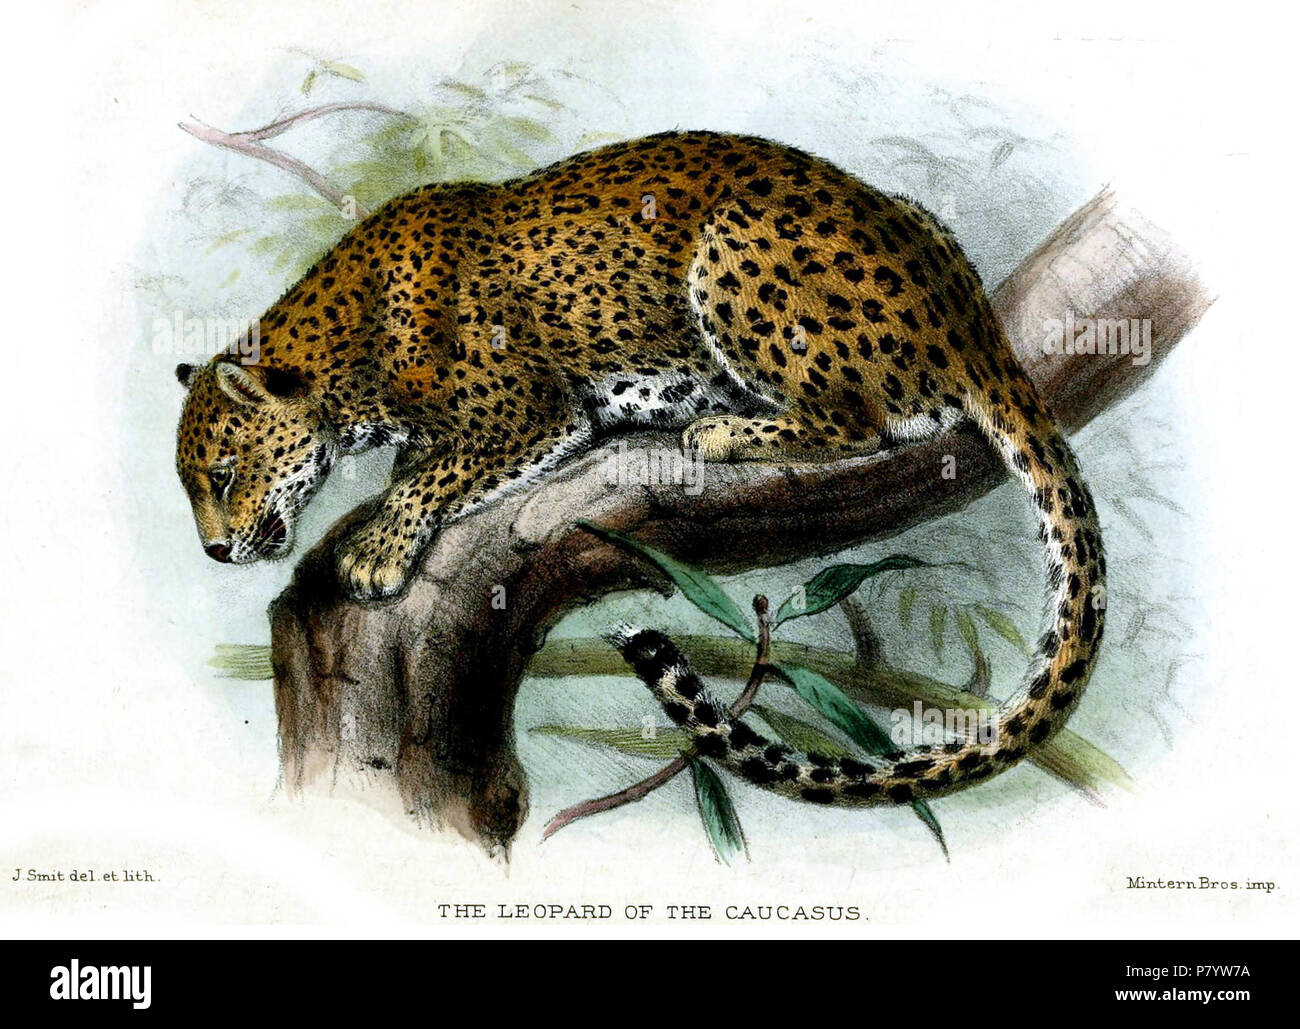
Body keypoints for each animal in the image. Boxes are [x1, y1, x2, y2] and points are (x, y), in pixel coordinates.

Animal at [174, 130, 1105, 805]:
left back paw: (723, 430)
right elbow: (423, 458)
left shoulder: (529, 410)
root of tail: (973, 319)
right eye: (195, 485)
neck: (344, 356)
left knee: (860, 420)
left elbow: (432, 475)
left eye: (221, 473)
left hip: (737, 248)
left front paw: (376, 548)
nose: (214, 551)